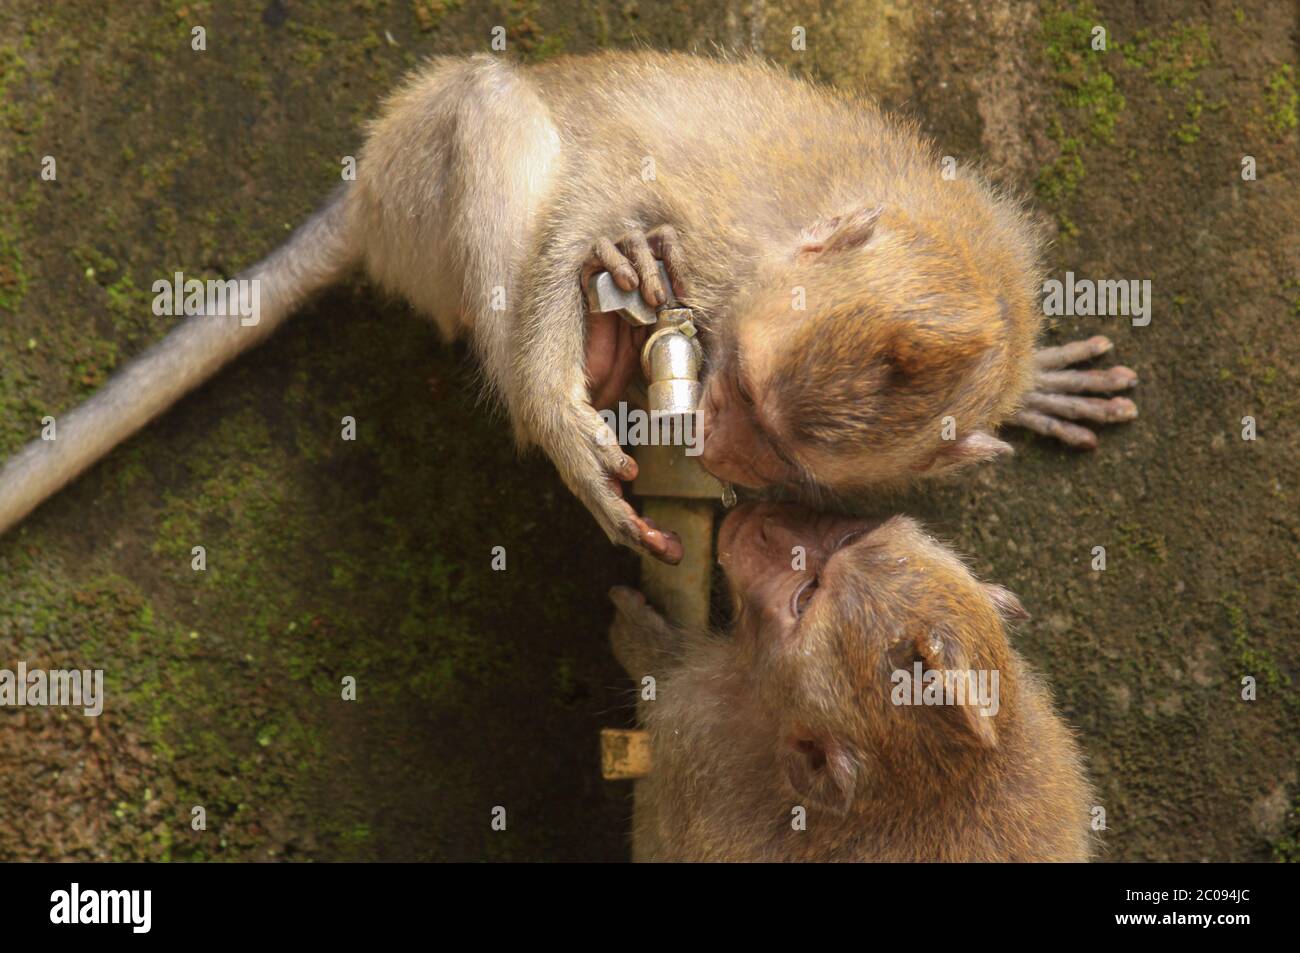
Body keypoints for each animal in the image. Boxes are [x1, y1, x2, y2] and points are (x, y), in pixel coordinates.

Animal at [0, 51, 1136, 562]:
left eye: (780, 453)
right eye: (732, 384)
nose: (715, 447)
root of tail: (363, 198)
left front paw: (1035, 385)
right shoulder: (716, 244)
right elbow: (586, 208)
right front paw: (559, 415)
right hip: (417, 179)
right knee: (495, 106)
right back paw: (570, 363)